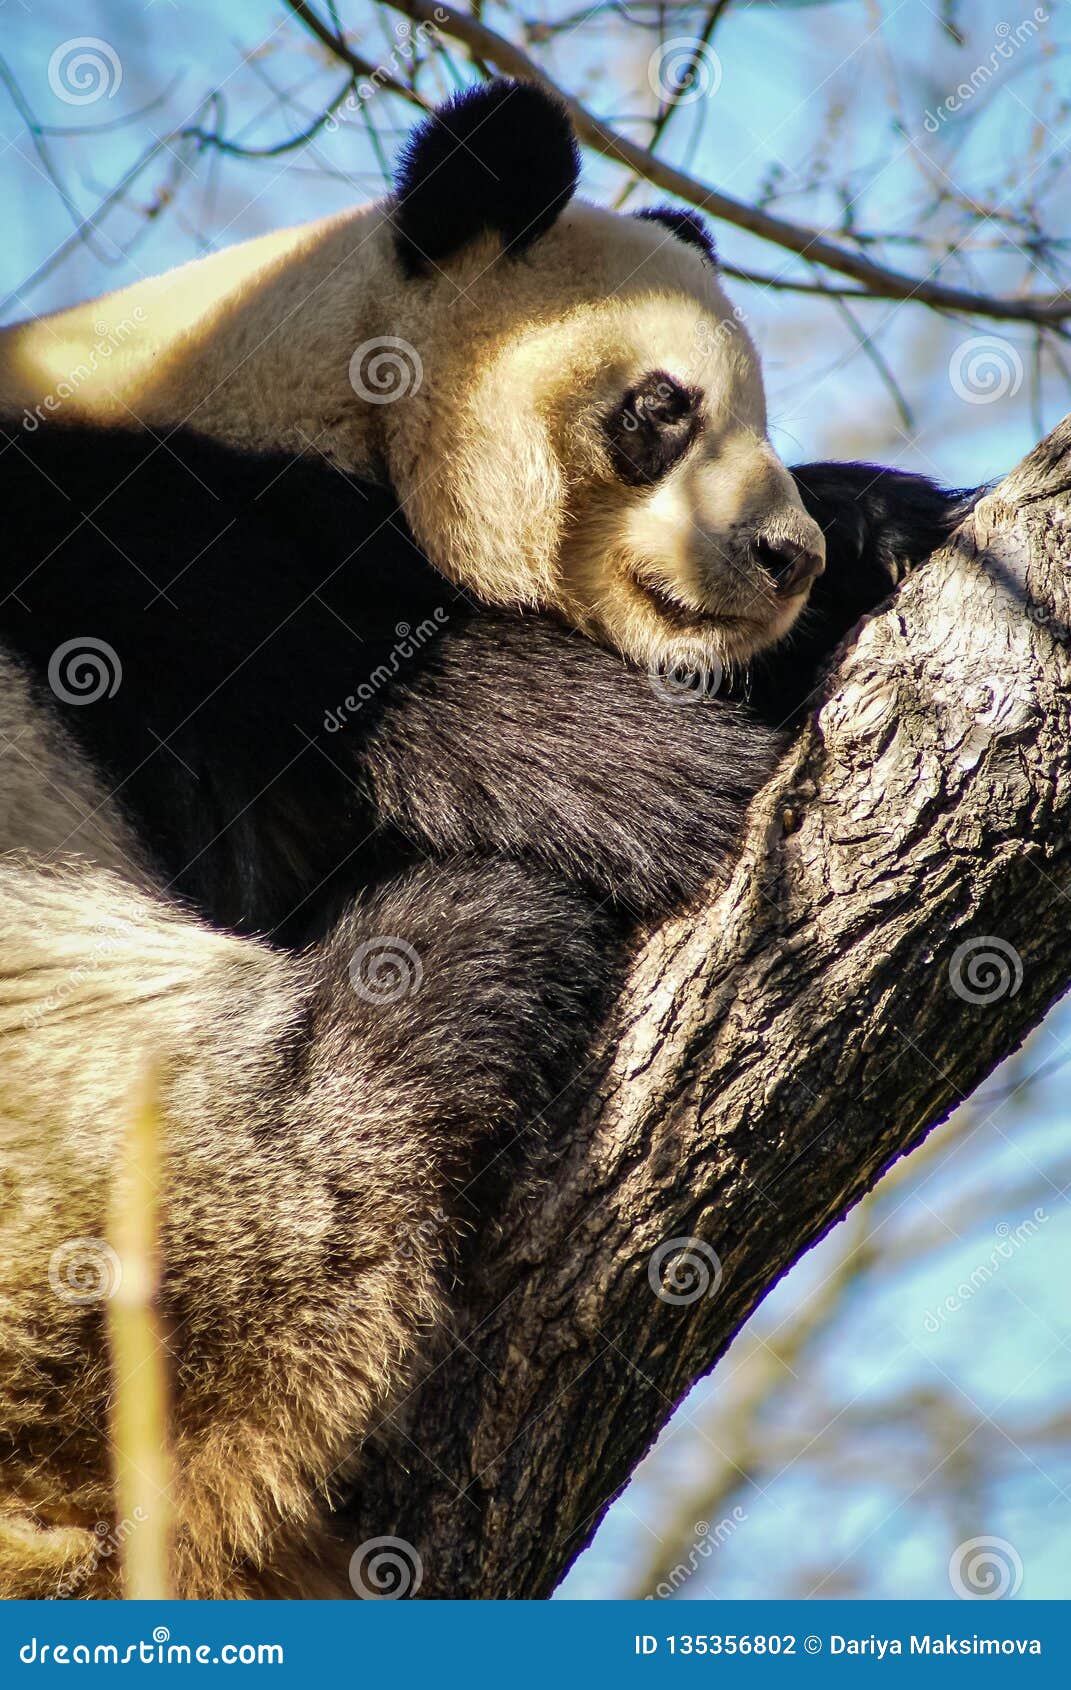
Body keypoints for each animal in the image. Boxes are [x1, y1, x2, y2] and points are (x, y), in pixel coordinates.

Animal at [0, 80, 972, 1598]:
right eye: (659, 408)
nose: (782, 557)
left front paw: (885, 518)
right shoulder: (137, 538)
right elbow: (390, 687)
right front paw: (672, 777)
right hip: (107, 1185)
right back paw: (466, 954)